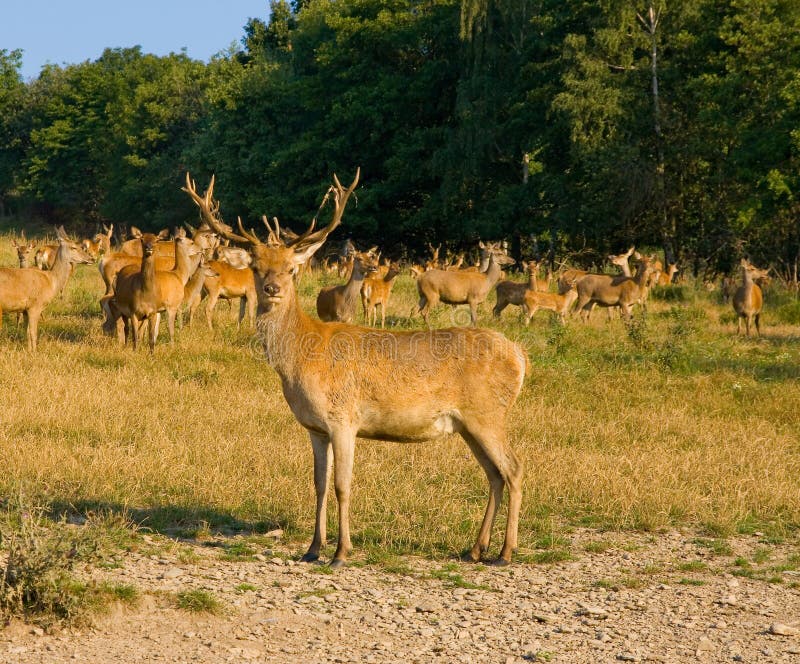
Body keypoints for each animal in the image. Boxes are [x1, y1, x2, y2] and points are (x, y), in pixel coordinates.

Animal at [183, 169, 526, 567]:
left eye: (291, 268)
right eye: (256, 267)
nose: (271, 288)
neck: (302, 359)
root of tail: (520, 357)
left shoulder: (344, 418)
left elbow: (342, 486)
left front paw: (341, 552)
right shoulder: (314, 427)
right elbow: (318, 484)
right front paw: (312, 549)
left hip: (488, 413)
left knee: (514, 469)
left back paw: (505, 552)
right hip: (470, 423)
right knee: (494, 475)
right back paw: (475, 549)